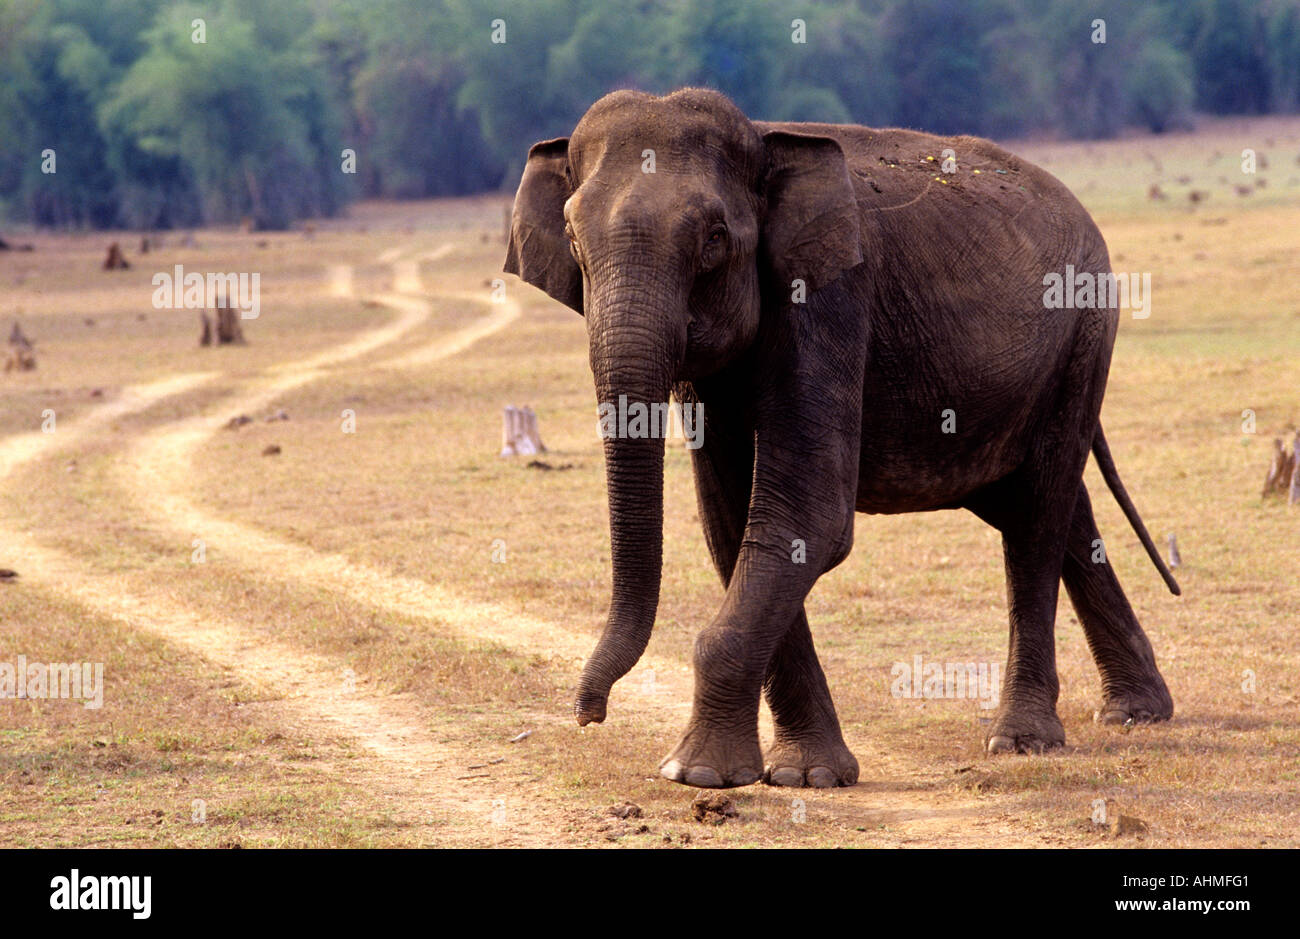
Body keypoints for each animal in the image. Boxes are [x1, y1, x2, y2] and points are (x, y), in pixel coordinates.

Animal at [503, 87, 1178, 789]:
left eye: (714, 241)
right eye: (573, 241)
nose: (589, 712)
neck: (766, 142)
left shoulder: (830, 302)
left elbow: (807, 518)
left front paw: (698, 774)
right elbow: (732, 524)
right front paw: (806, 776)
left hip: (1085, 336)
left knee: (1038, 516)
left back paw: (1023, 741)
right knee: (1049, 503)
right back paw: (1136, 712)